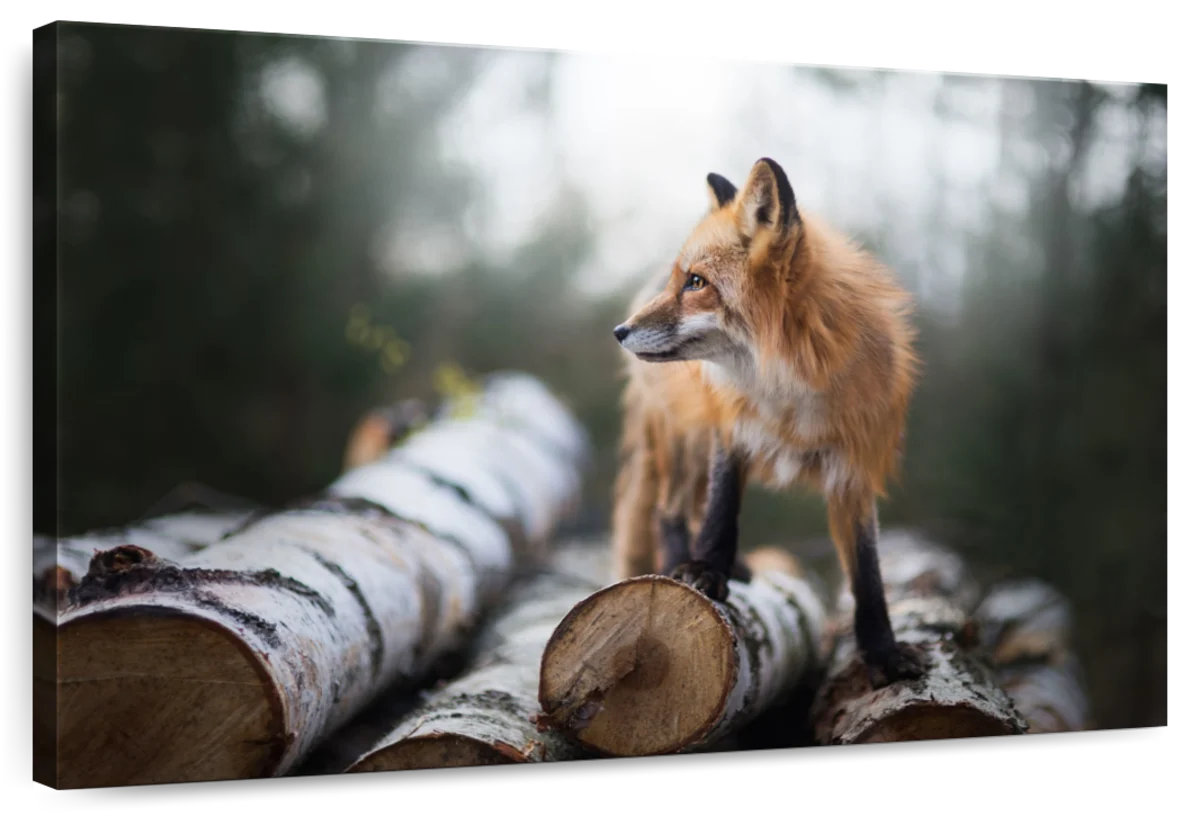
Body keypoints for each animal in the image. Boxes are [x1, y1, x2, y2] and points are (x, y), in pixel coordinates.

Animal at [611, 157, 923, 685]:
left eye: (696, 282)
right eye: (681, 280)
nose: (619, 331)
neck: (790, 386)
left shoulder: (854, 470)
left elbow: (867, 572)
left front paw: (882, 652)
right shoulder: (730, 431)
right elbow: (721, 511)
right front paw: (705, 571)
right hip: (684, 441)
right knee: (670, 511)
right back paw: (677, 565)